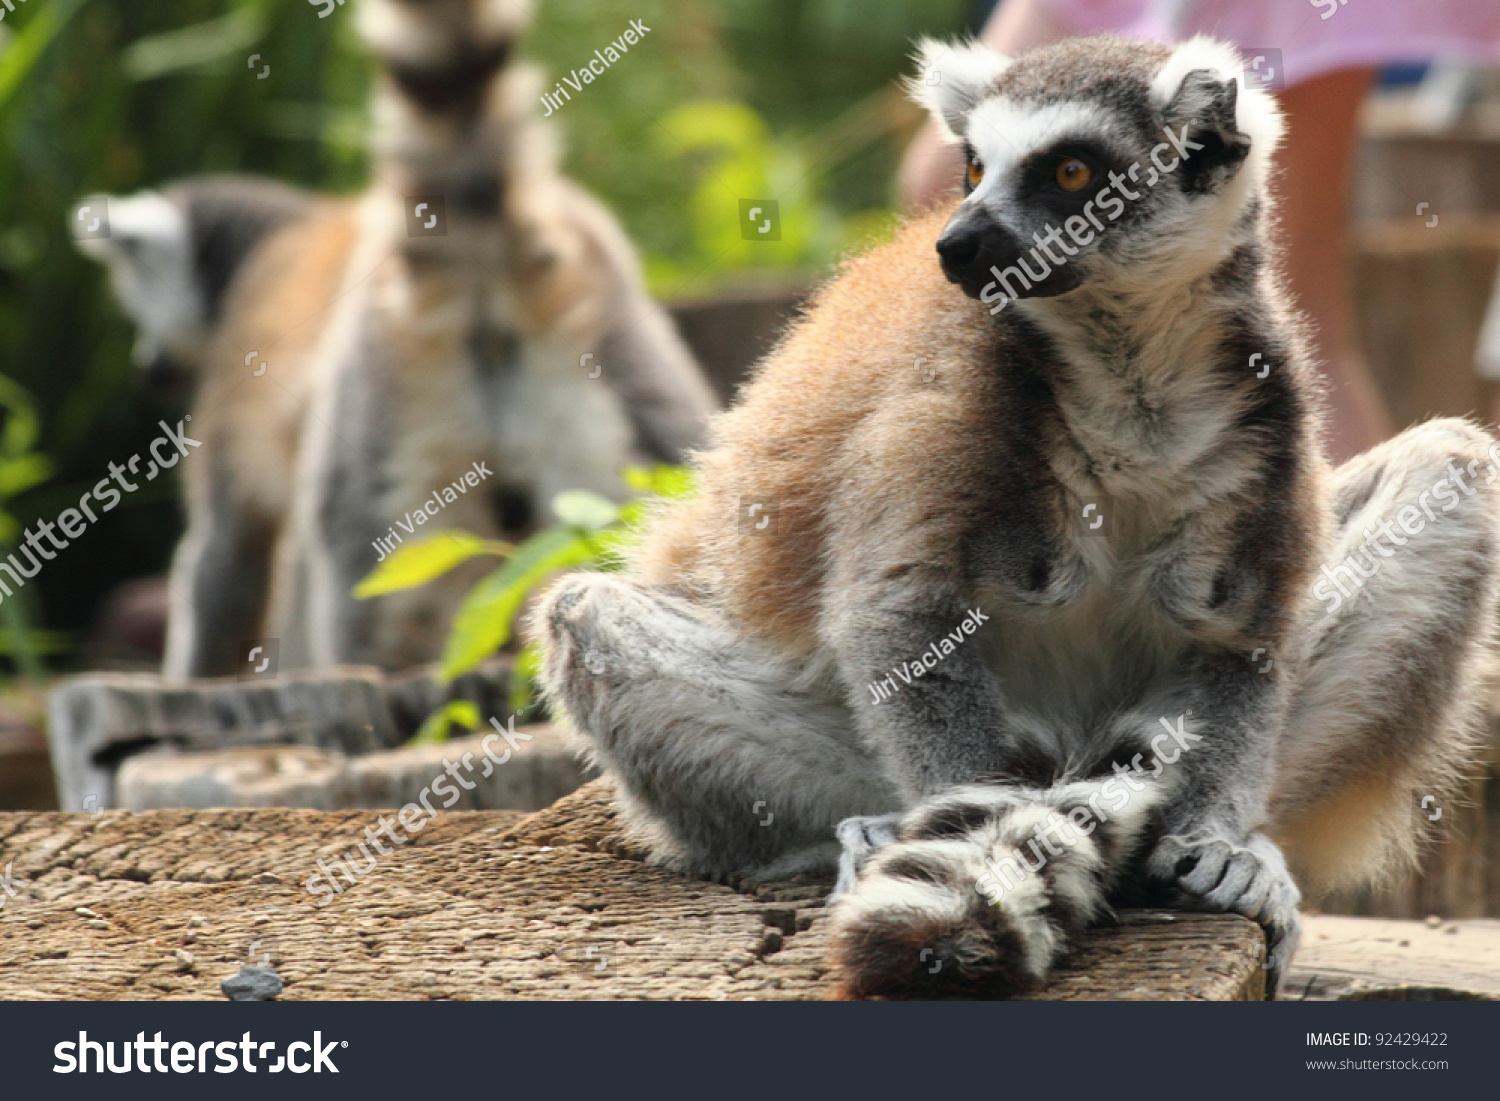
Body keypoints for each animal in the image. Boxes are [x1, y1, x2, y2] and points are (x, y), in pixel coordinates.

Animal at [535, 34, 1500, 1000]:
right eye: (972, 167)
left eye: (1072, 171)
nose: (958, 243)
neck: (1128, 365)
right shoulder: (942, 406)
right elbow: (898, 612)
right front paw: (979, 835)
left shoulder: (1266, 412)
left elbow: (1242, 634)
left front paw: (1211, 843)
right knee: (591, 616)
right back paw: (873, 833)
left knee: (1454, 466)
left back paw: (1235, 851)